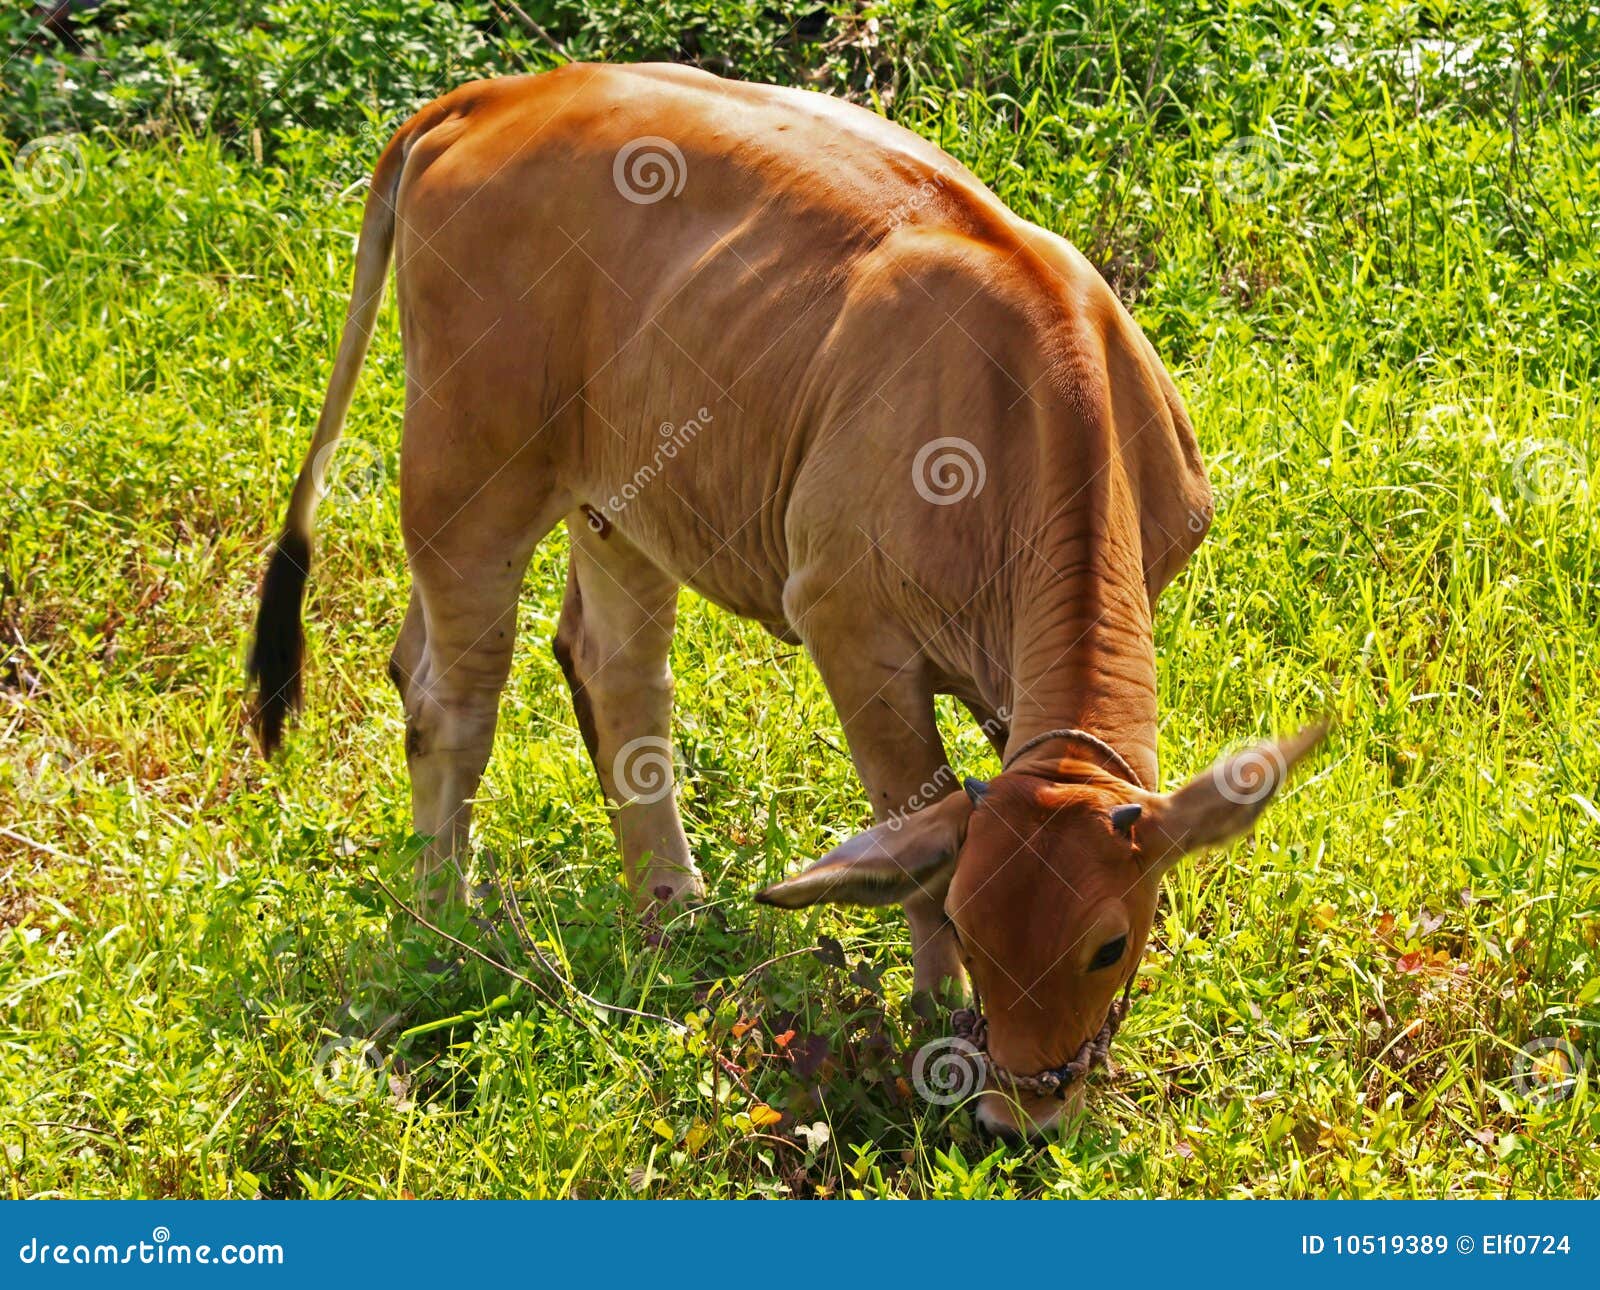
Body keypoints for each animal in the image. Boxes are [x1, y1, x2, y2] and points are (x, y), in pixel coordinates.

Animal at [249, 63, 1323, 1140]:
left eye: (1109, 944)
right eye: (973, 925)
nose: (1016, 1122)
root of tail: (500, 91)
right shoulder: (852, 628)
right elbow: (911, 826)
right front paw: (933, 1007)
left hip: (621, 498)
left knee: (606, 674)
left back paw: (674, 911)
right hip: (467, 475)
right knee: (451, 702)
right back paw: (446, 923)